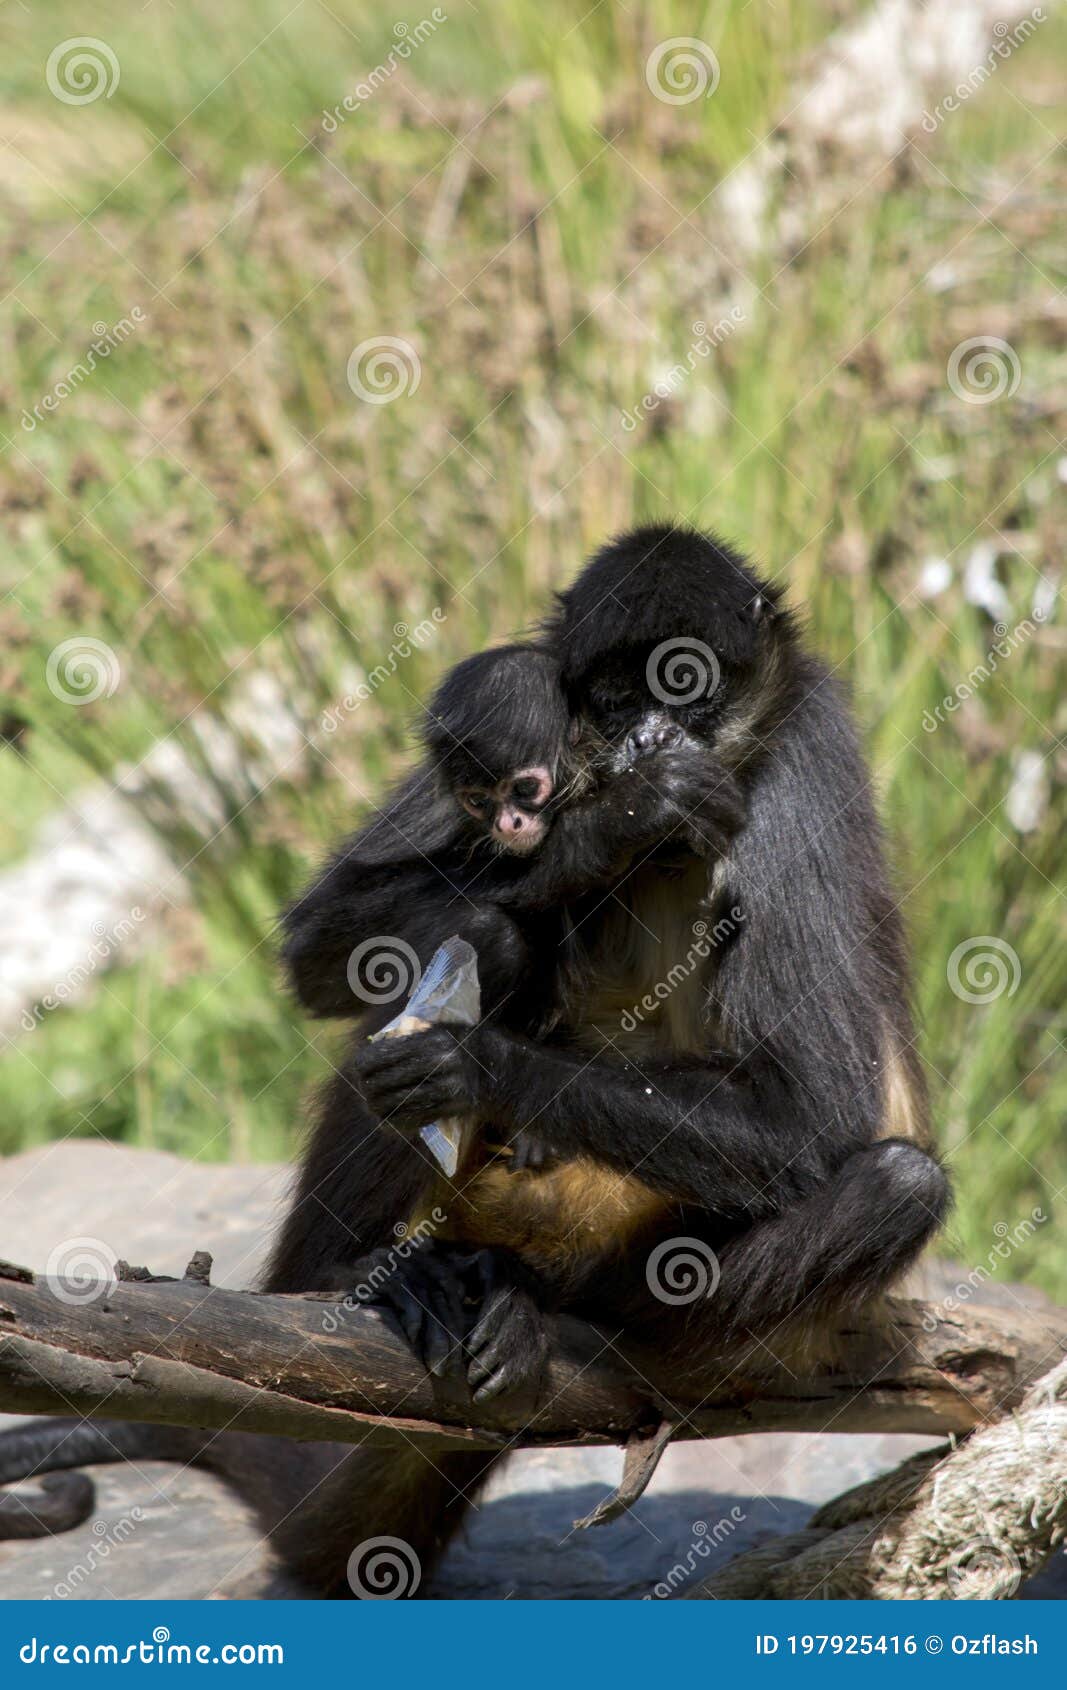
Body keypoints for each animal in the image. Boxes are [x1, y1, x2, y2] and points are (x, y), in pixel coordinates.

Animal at [0, 525, 947, 1601]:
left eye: (685, 685)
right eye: (612, 700)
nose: (645, 741)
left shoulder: (804, 745)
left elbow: (810, 1116)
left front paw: (468, 1063)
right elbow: (320, 946)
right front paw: (609, 828)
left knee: (896, 1181)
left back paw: (552, 1316)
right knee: (484, 935)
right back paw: (355, 1276)